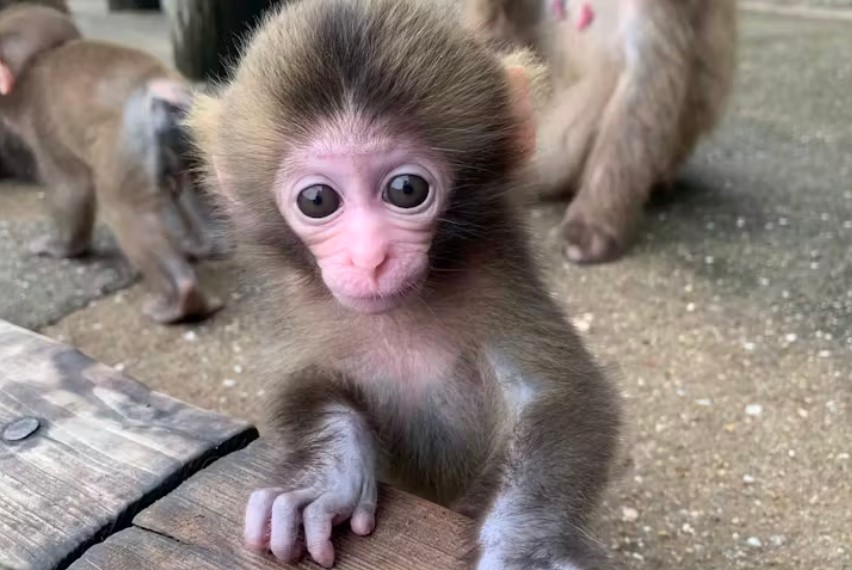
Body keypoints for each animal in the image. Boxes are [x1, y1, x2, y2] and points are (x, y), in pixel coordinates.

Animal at [0, 5, 222, 323]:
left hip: (125, 140)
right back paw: (203, 246)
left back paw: (182, 297)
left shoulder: (44, 125)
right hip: (189, 134)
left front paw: (62, 248)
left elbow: (72, 188)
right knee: (189, 187)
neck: (38, 60)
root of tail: (161, 87)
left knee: (125, 209)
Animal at [188, 0, 622, 568]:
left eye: (406, 190)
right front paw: (323, 480)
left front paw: (523, 544)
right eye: (317, 201)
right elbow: (305, 386)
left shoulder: (502, 288)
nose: (370, 257)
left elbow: (556, 394)